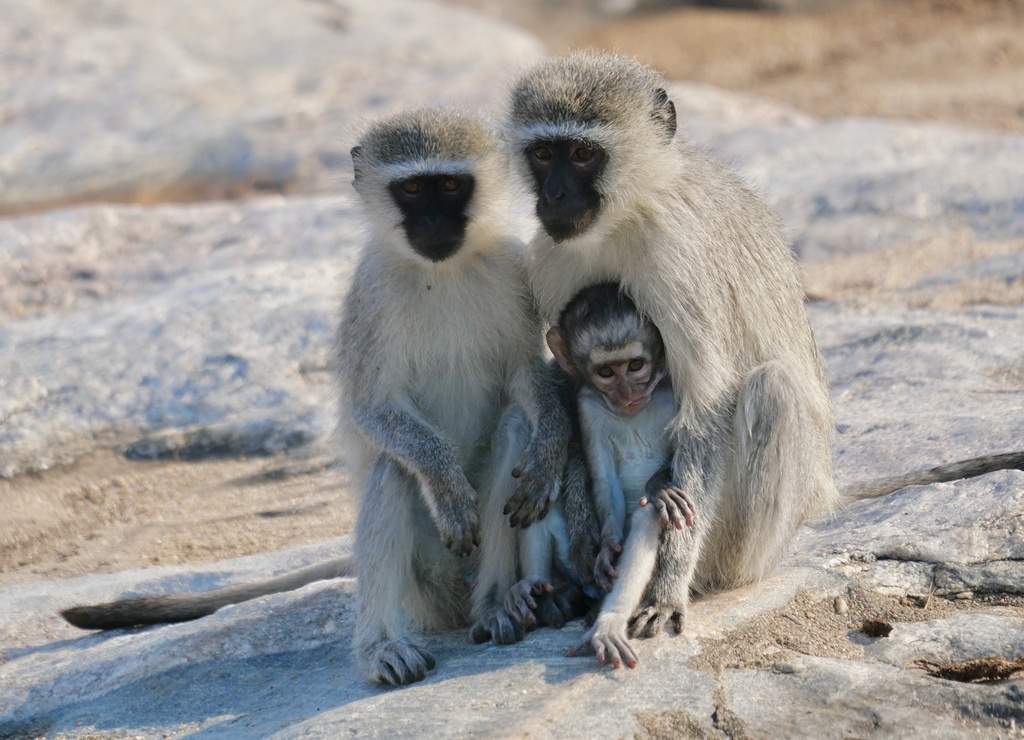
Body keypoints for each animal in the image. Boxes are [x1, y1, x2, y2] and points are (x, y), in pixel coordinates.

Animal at [61, 107, 571, 687]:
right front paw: (445, 486)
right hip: (427, 582)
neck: (440, 271)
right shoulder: (371, 295)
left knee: (514, 426)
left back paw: (492, 604)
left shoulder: (512, 270)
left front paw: (550, 452)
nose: (434, 226)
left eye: (449, 186)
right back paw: (381, 646)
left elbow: (528, 380)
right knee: (393, 468)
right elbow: (371, 410)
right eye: (412, 189)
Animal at [504, 51, 1024, 669]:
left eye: (583, 154)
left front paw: (666, 586)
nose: (555, 199)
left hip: (749, 542)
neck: (627, 214)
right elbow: (568, 385)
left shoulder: (678, 262)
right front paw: (560, 478)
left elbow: (706, 408)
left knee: (769, 389)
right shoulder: (553, 257)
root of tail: (820, 494)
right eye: (544, 154)